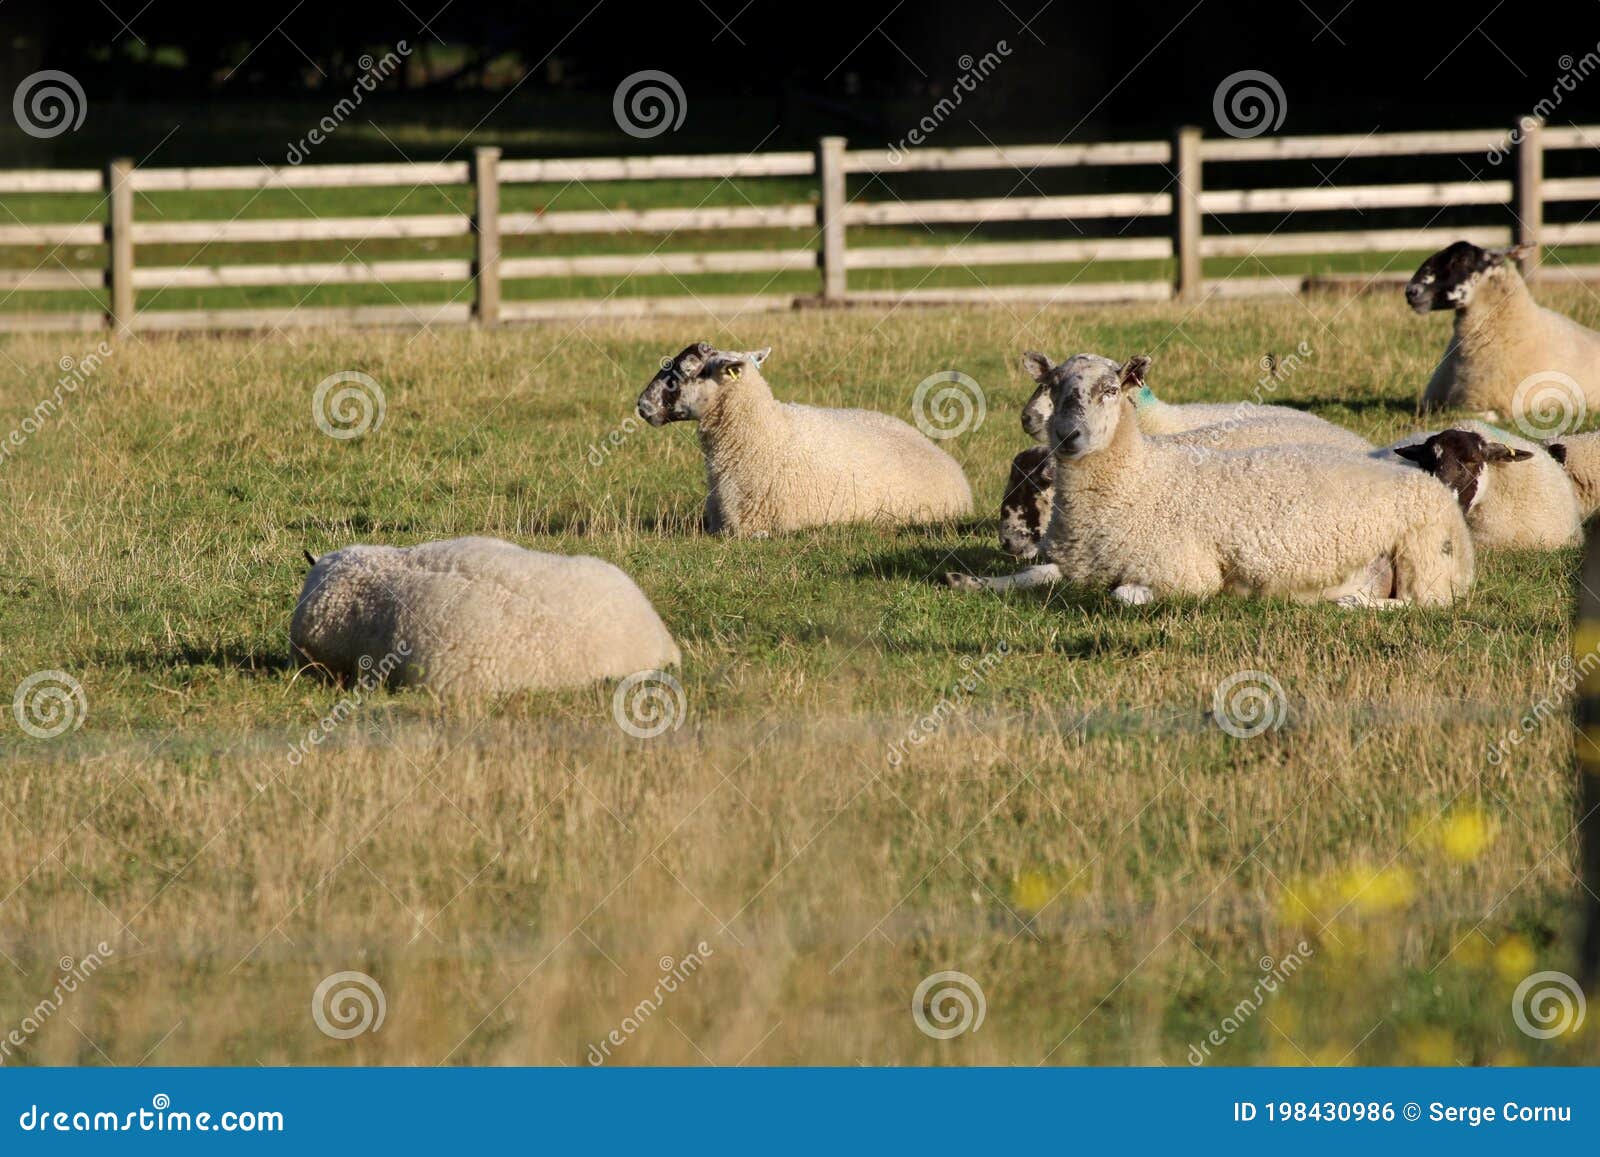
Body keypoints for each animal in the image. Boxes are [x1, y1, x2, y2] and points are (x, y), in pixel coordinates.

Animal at [953, 352, 1474, 608]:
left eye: (1109, 390)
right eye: (1053, 386)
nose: (1067, 435)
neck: (1135, 480)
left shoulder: (1187, 573)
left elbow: (1123, 596)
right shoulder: (1076, 565)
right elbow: (1033, 575)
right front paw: (972, 582)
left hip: (1427, 558)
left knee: (1426, 605)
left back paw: (1349, 605)